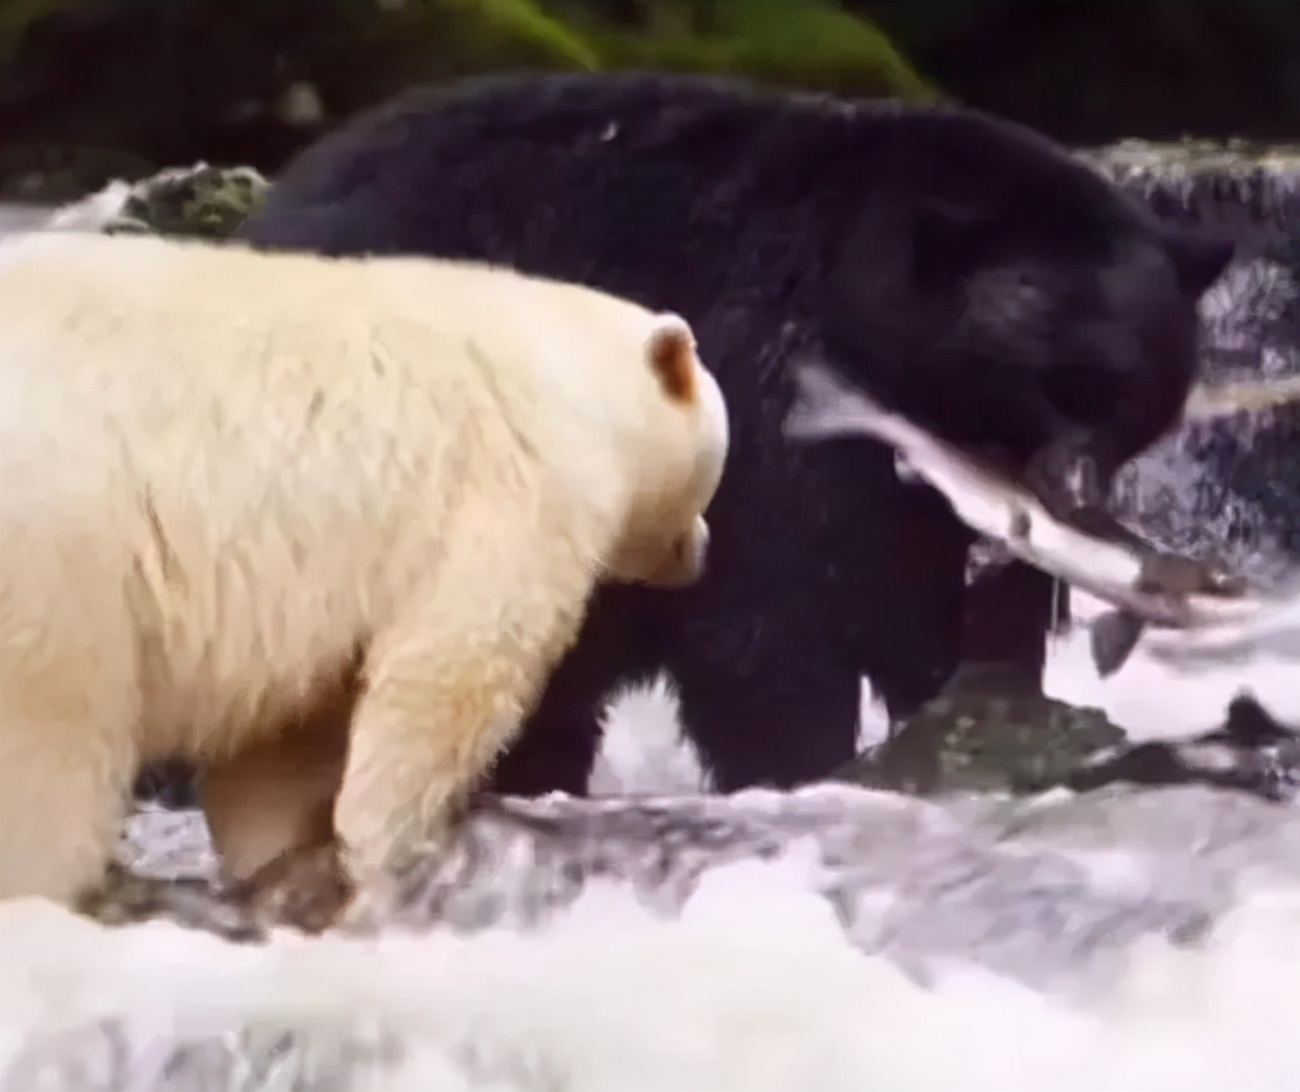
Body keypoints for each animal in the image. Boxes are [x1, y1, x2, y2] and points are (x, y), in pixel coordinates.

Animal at [0, 228, 728, 905]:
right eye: (714, 460)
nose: (702, 548)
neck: (564, 368)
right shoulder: (512, 491)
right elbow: (446, 672)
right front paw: (393, 849)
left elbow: (284, 741)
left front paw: (287, 856)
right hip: (61, 548)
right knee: (50, 752)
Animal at [229, 70, 1234, 801]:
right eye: (1053, 380)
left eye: (1138, 397)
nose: (1077, 499)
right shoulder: (756, 414)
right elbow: (768, 634)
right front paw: (806, 769)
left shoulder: (915, 507)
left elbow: (950, 623)